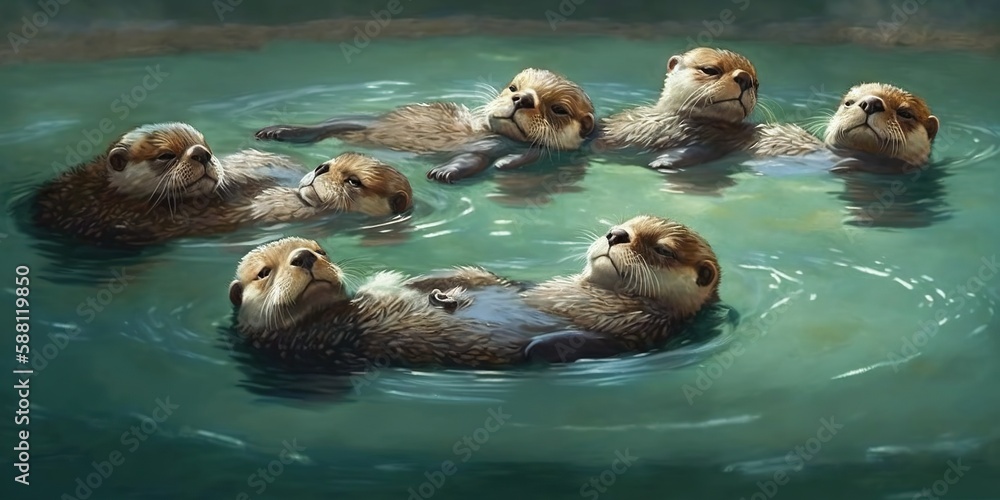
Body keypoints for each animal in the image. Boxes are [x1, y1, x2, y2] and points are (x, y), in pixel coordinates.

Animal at [254, 68, 596, 183]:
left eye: (558, 109)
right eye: (513, 87)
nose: (521, 99)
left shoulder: (499, 148)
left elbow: (484, 159)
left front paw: (444, 172)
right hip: (358, 120)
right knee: (326, 125)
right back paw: (278, 131)